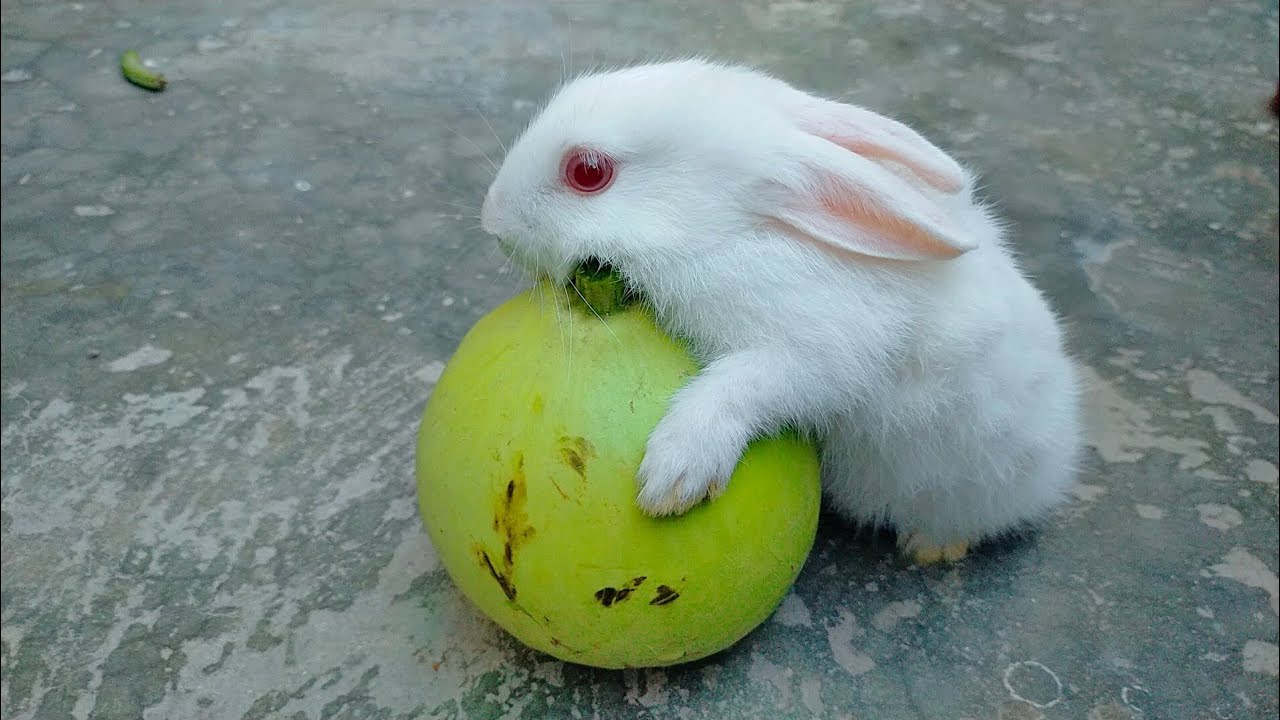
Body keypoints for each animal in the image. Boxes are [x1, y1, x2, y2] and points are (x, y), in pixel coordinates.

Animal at [479, 59, 1082, 564]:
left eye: (587, 171)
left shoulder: (815, 351)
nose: (492, 219)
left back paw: (933, 548)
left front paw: (675, 476)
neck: (727, 236)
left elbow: (741, 386)